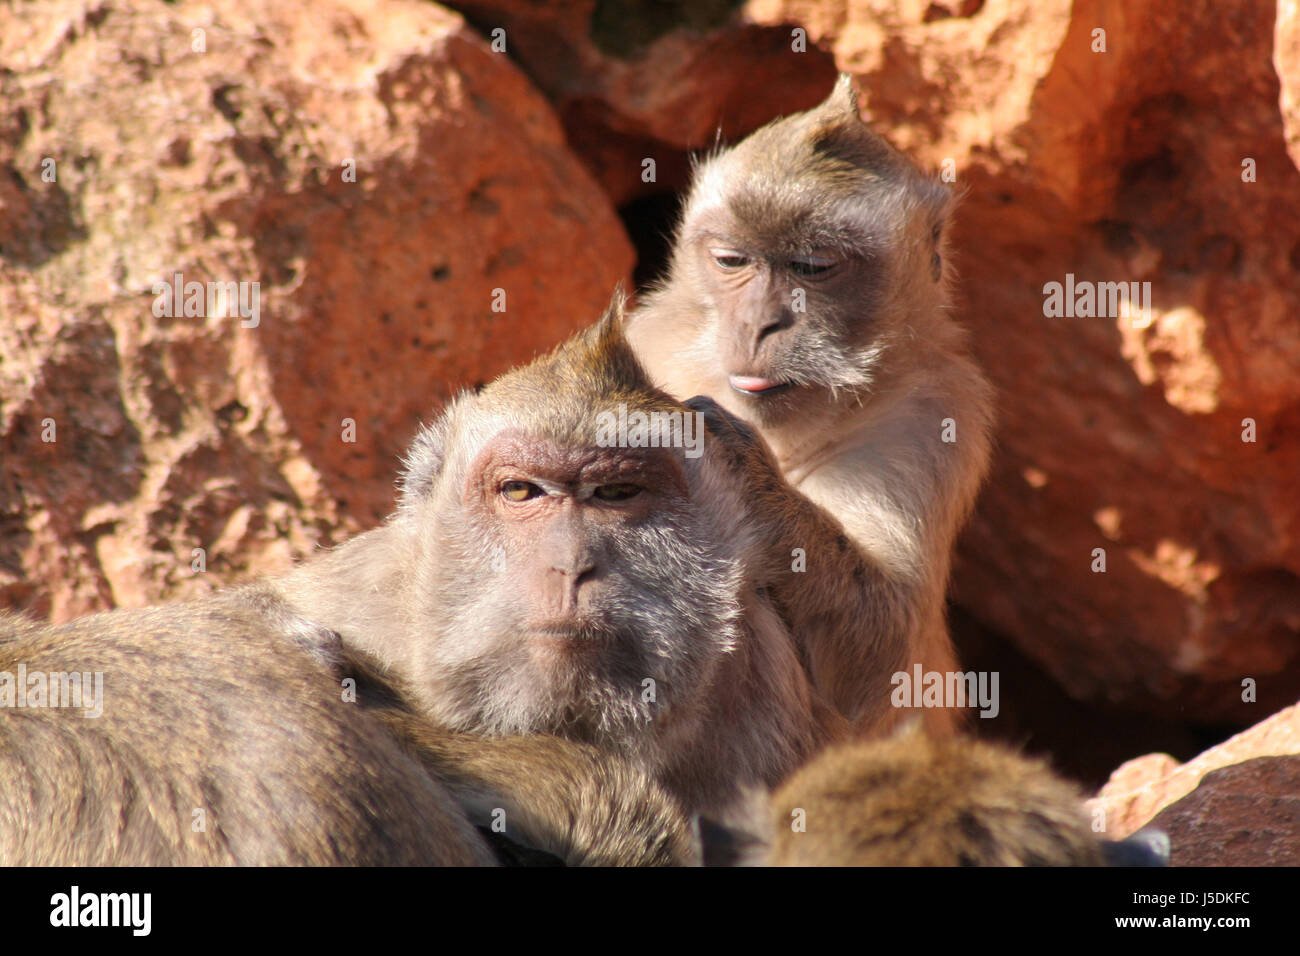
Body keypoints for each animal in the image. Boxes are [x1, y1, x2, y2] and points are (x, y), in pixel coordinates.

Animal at [626, 74, 996, 735]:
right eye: (732, 261)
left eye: (813, 267)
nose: (760, 323)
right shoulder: (651, 337)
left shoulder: (934, 420)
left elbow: (885, 663)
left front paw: (732, 467)